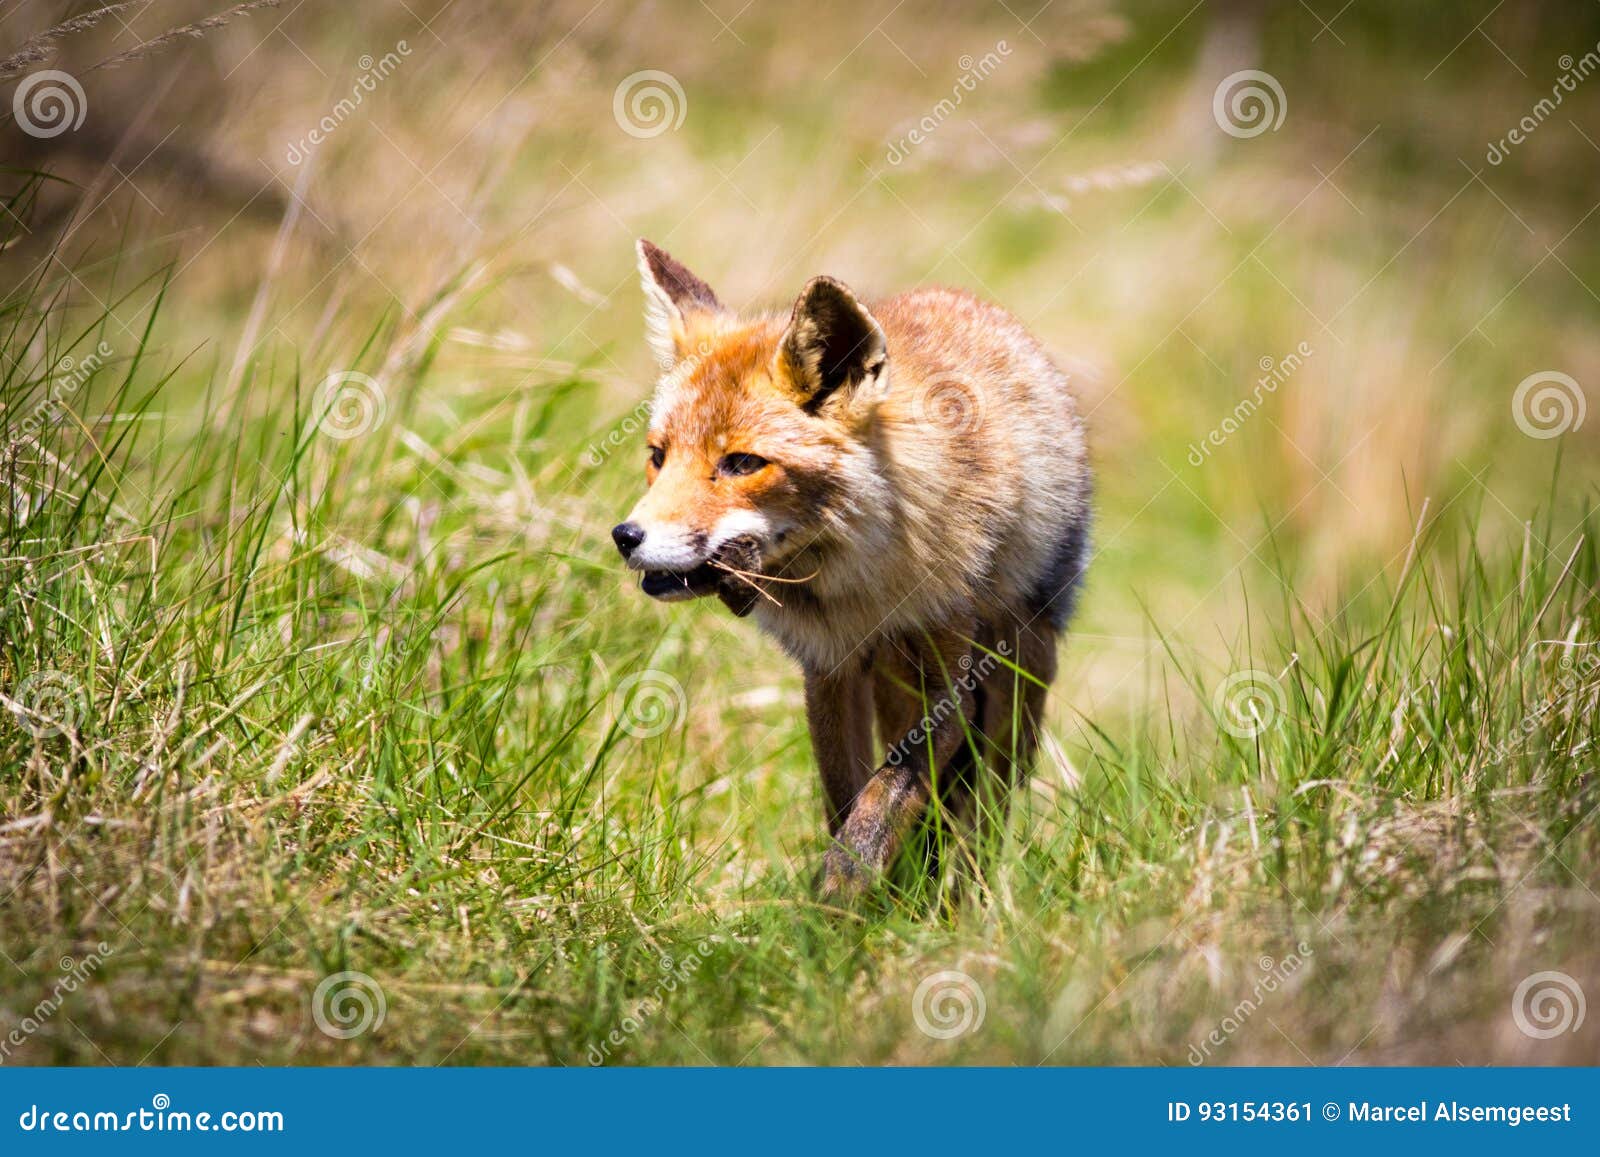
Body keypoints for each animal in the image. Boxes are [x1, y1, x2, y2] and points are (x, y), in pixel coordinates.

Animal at [613, 240, 1091, 905]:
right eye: (658, 457)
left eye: (741, 463)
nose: (626, 537)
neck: (857, 588)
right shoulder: (828, 670)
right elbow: (847, 800)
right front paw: (853, 906)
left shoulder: (948, 686)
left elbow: (882, 801)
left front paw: (840, 899)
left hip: (1018, 671)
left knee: (987, 815)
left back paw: (971, 902)